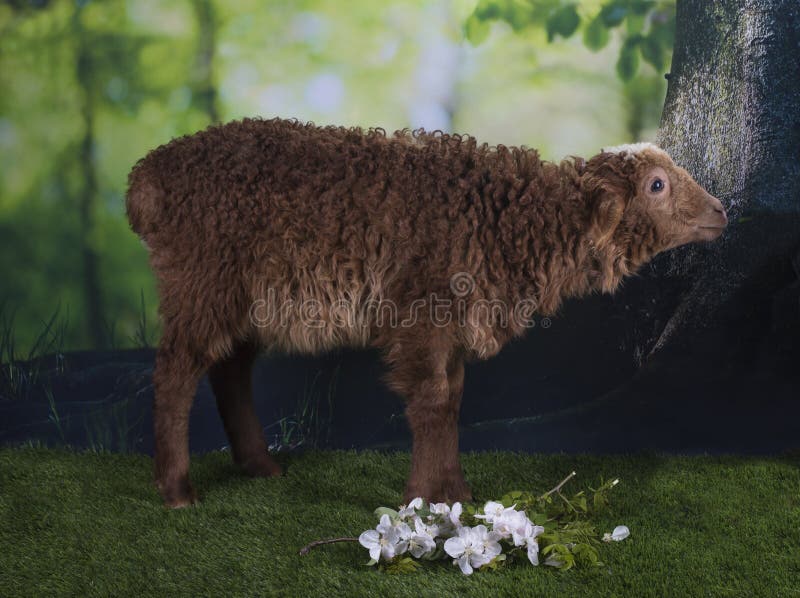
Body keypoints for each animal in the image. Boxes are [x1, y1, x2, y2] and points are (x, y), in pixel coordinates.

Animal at [126, 117, 728, 508]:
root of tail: (148, 177)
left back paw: (260, 466)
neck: (507, 219)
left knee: (229, 371)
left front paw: (455, 493)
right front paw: (418, 501)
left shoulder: (453, 324)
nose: (722, 211)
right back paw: (177, 490)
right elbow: (431, 402)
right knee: (176, 372)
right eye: (656, 185)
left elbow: (453, 400)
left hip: (245, 298)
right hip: (202, 281)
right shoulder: (420, 315)